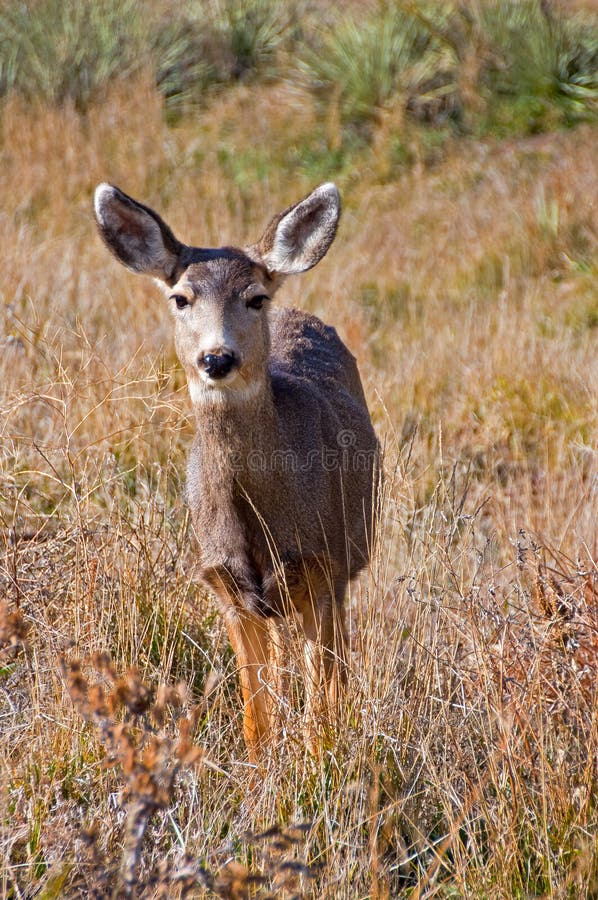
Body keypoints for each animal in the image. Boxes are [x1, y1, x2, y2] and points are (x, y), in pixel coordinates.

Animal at [94, 182, 379, 762]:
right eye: (181, 298)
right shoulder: (224, 585)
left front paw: (322, 762)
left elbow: (320, 706)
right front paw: (261, 766)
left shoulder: (324, 566)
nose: (217, 358)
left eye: (255, 297)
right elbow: (256, 714)